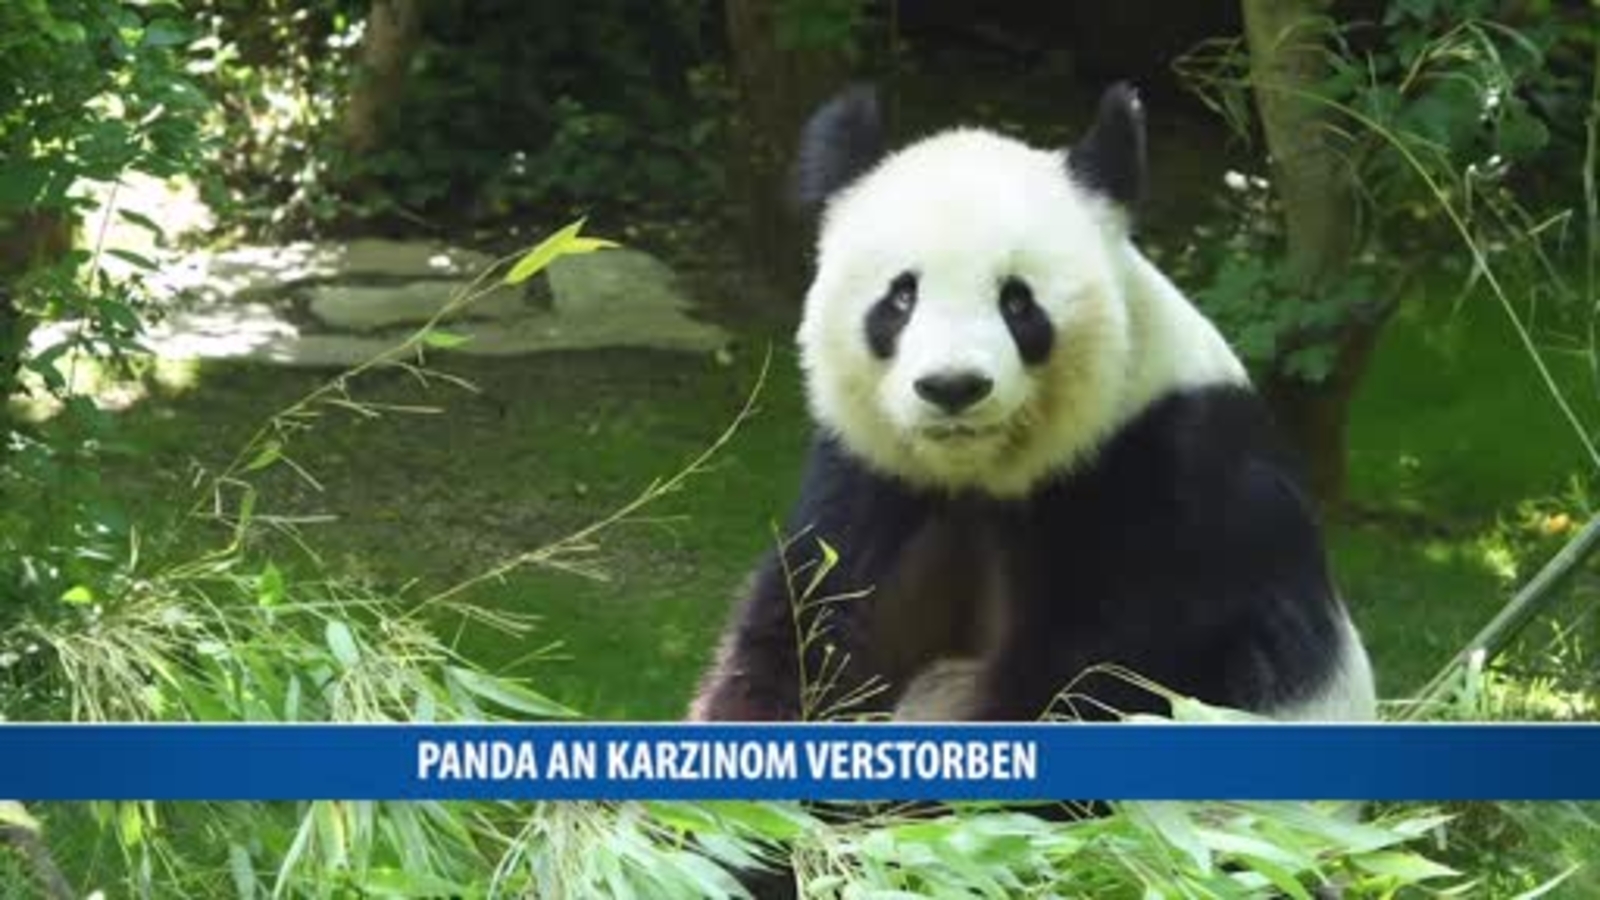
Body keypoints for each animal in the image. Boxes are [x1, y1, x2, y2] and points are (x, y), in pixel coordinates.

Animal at [688, 82, 1377, 728]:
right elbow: (809, 631)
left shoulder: (1169, 490)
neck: (988, 474)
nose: (953, 387)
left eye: (1018, 302)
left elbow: (1094, 683)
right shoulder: (875, 479)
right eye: (901, 296)